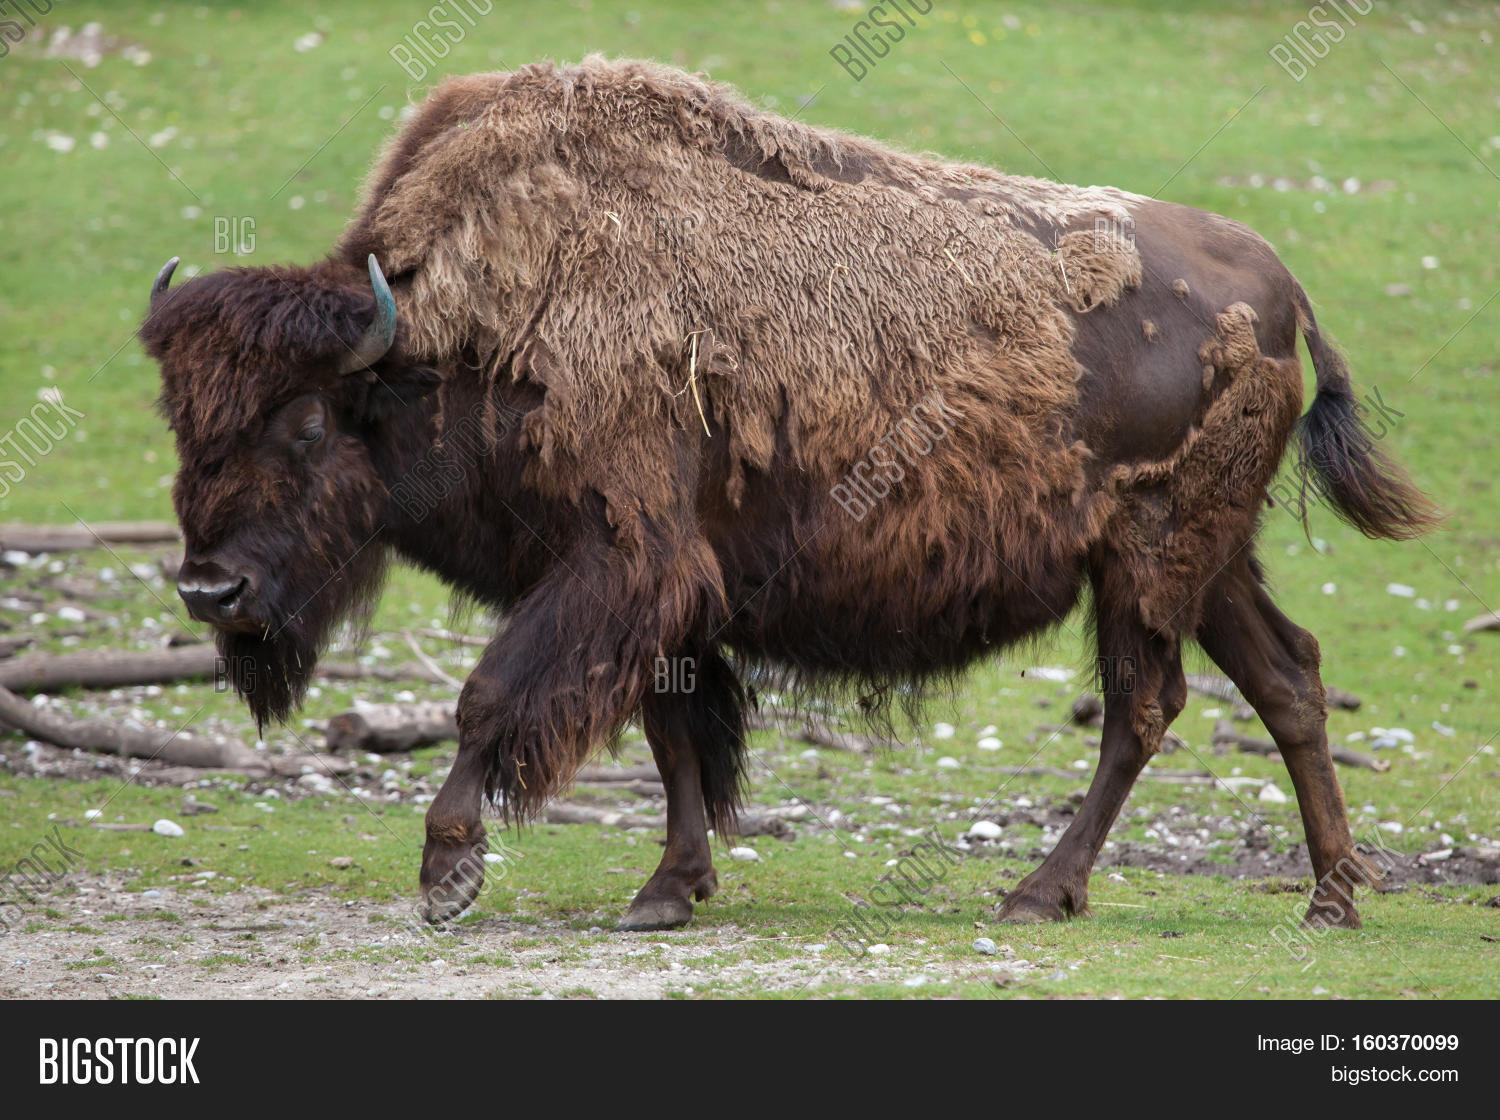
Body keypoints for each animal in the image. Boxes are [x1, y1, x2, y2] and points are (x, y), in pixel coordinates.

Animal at [141, 57, 1436, 931]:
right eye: (183, 422)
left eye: (308, 418)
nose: (208, 590)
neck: (448, 335)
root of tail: (1281, 285)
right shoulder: (667, 599)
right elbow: (672, 732)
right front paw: (668, 889)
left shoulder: (619, 564)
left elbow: (491, 696)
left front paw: (447, 871)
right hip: (1211, 560)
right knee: (1287, 678)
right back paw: (1331, 897)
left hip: (1149, 559)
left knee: (1146, 704)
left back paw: (1041, 890)